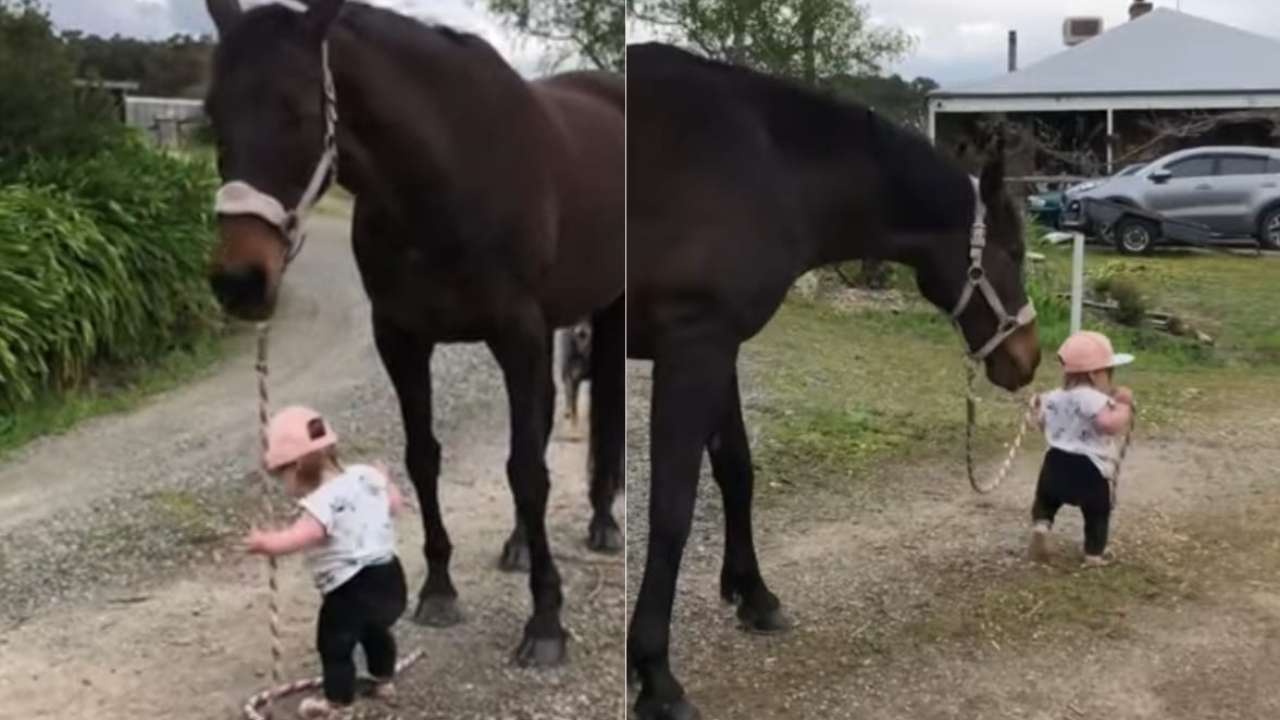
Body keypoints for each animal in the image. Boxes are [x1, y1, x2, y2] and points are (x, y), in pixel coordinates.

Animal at [202, 0, 624, 669]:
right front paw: (439, 589)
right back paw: (519, 544)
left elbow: (527, 470)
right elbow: (424, 459)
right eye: (212, 113)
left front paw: (546, 621)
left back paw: (604, 523)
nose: (240, 280)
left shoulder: (518, 336)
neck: (446, 175)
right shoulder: (401, 340)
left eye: (296, 110)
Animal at [625, 43, 1041, 719]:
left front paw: (755, 596)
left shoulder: (720, 346)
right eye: (1013, 252)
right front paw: (655, 675)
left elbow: (736, 470)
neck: (762, 162)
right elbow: (672, 508)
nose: (1028, 357)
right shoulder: (693, 346)